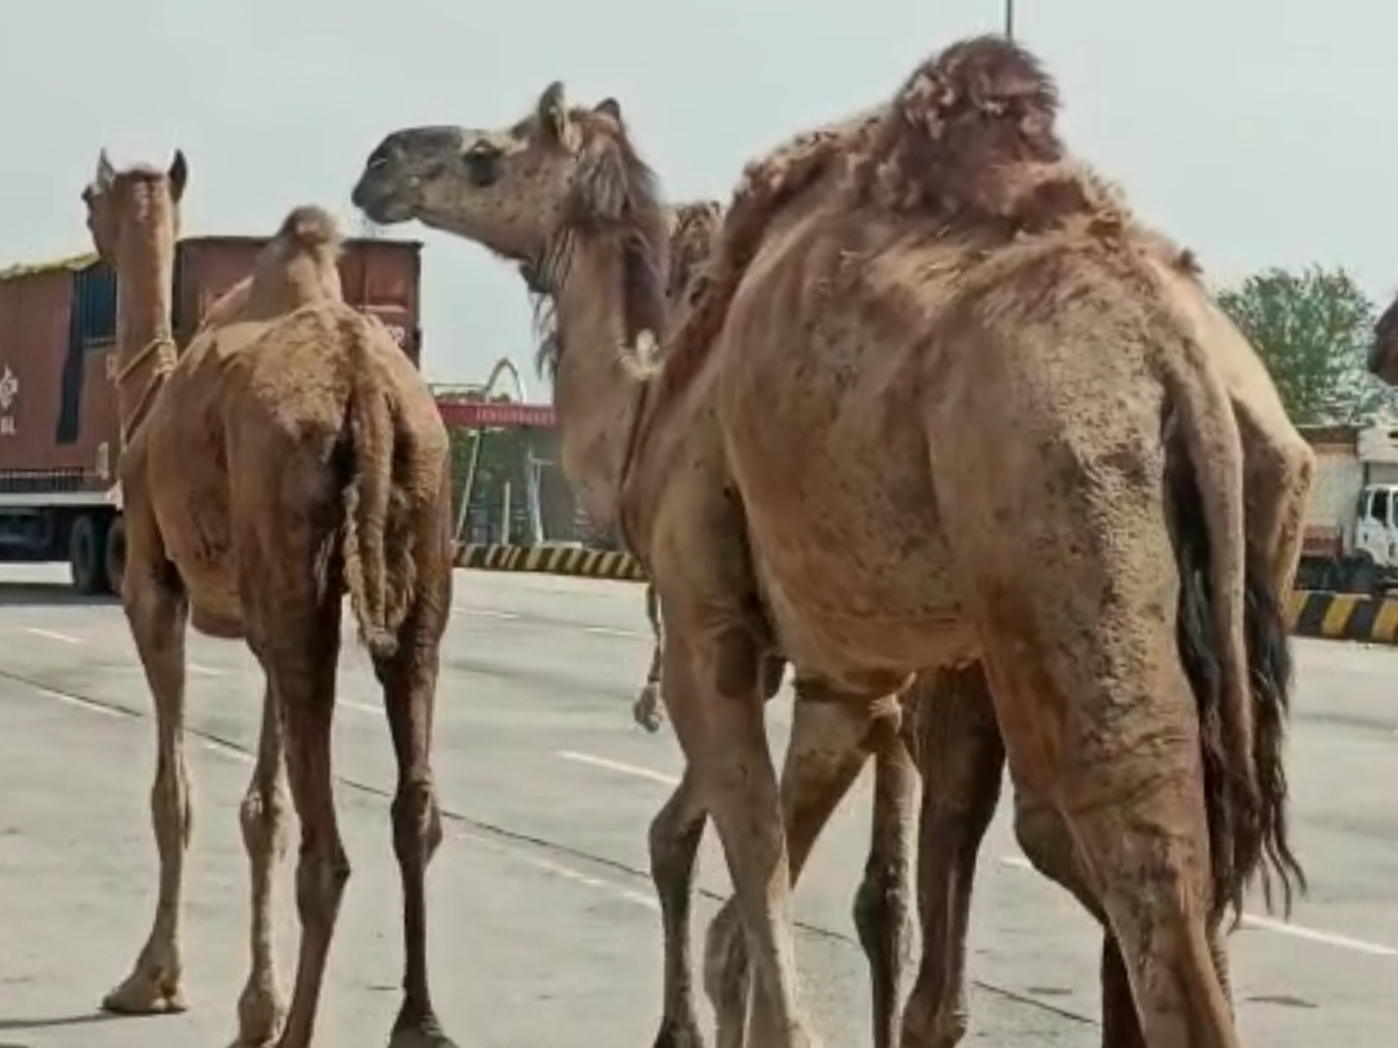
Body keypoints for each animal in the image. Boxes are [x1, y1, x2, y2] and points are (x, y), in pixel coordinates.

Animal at [83, 152, 457, 1048]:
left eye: (88, 199)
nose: (91, 230)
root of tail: (365, 389)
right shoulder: (261, 609)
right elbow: (264, 810)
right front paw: (257, 1004)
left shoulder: (153, 583)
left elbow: (174, 797)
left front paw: (152, 981)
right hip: (409, 544)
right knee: (414, 804)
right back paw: (419, 1024)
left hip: (292, 549)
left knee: (332, 849)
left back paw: (303, 1035)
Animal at [348, 39, 1309, 1048]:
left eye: (486, 156)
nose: (379, 162)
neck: (648, 406)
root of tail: (1177, 355)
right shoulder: (843, 677)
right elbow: (759, 902)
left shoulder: (706, 627)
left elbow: (746, 881)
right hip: (1242, 518)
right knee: (1157, 868)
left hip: (1059, 492)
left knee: (1128, 852)